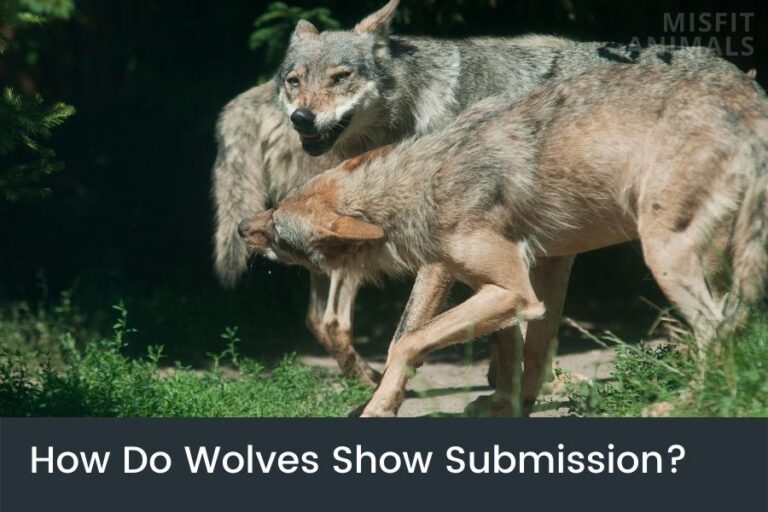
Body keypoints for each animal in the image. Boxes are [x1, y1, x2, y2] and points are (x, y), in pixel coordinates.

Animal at [213, 0, 736, 387]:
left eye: (342, 76)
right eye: (294, 80)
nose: (302, 118)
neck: (424, 107)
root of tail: (734, 71)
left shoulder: (443, 251)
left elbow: (408, 331)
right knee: (325, 320)